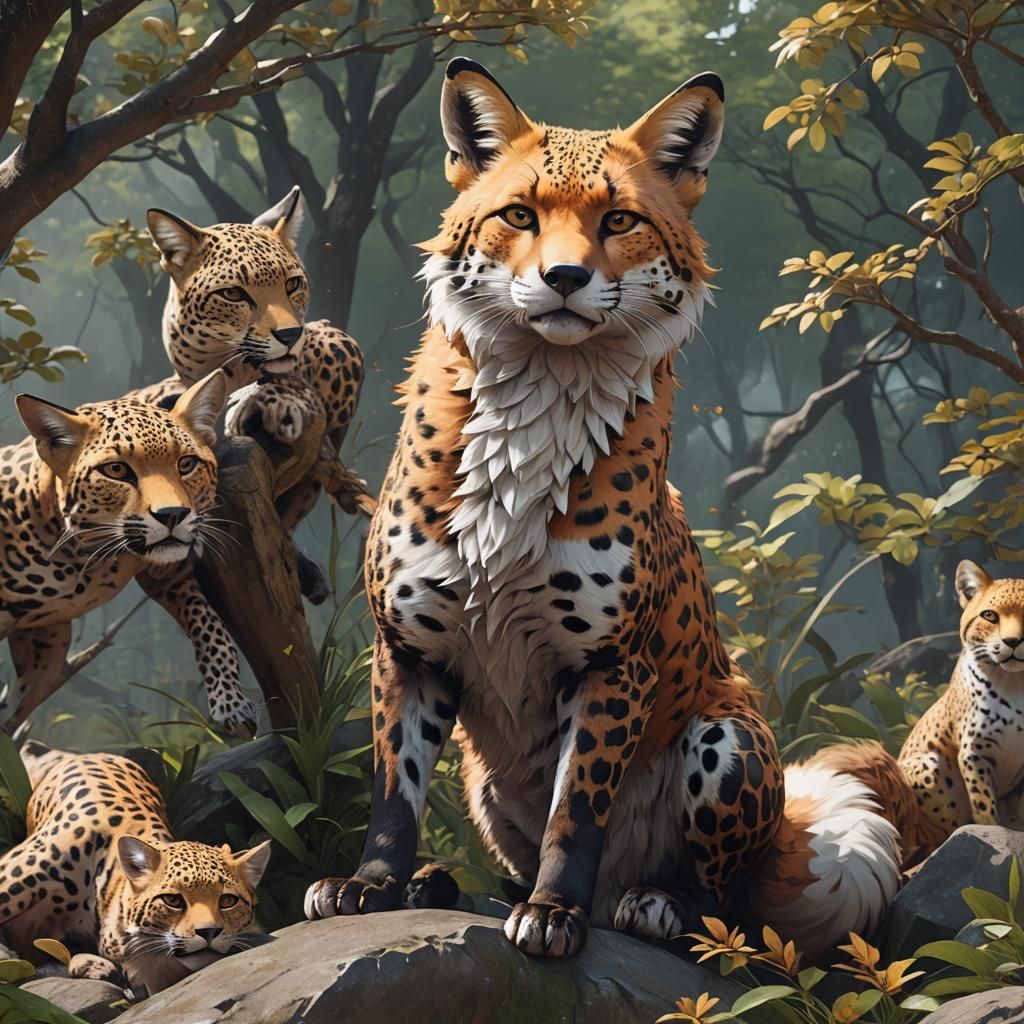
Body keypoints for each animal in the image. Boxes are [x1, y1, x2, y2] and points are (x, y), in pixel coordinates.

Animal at [0, 370, 258, 736]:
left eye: (186, 464)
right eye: (116, 471)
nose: (173, 515)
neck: (90, 555)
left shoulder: (168, 575)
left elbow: (210, 624)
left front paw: (231, 701)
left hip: (50, 647)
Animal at [303, 58, 908, 961]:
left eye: (619, 219)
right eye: (521, 214)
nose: (564, 279)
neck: (534, 418)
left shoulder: (609, 665)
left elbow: (578, 806)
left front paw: (555, 912)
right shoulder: (409, 651)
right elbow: (394, 793)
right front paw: (373, 885)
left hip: (729, 736)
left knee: (730, 902)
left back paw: (657, 904)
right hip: (482, 782)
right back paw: (442, 884)